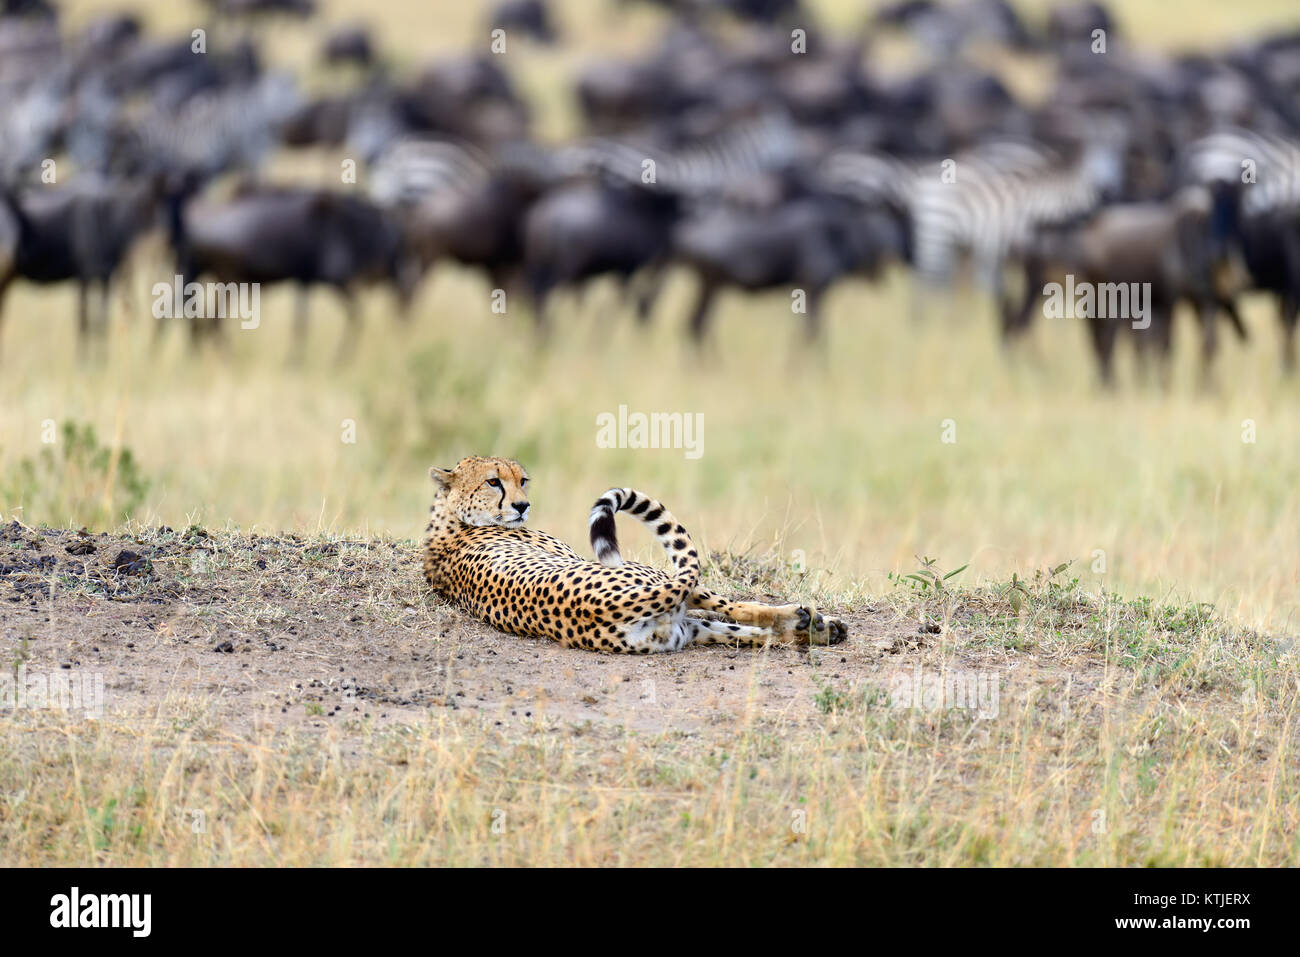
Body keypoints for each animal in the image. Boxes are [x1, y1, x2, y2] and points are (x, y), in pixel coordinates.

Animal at [421, 455, 848, 653]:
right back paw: (809, 621)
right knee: (741, 611)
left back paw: (816, 631)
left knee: (752, 635)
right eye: (493, 482)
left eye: (522, 480)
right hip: (659, 581)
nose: (523, 505)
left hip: (680, 628)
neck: (450, 519)